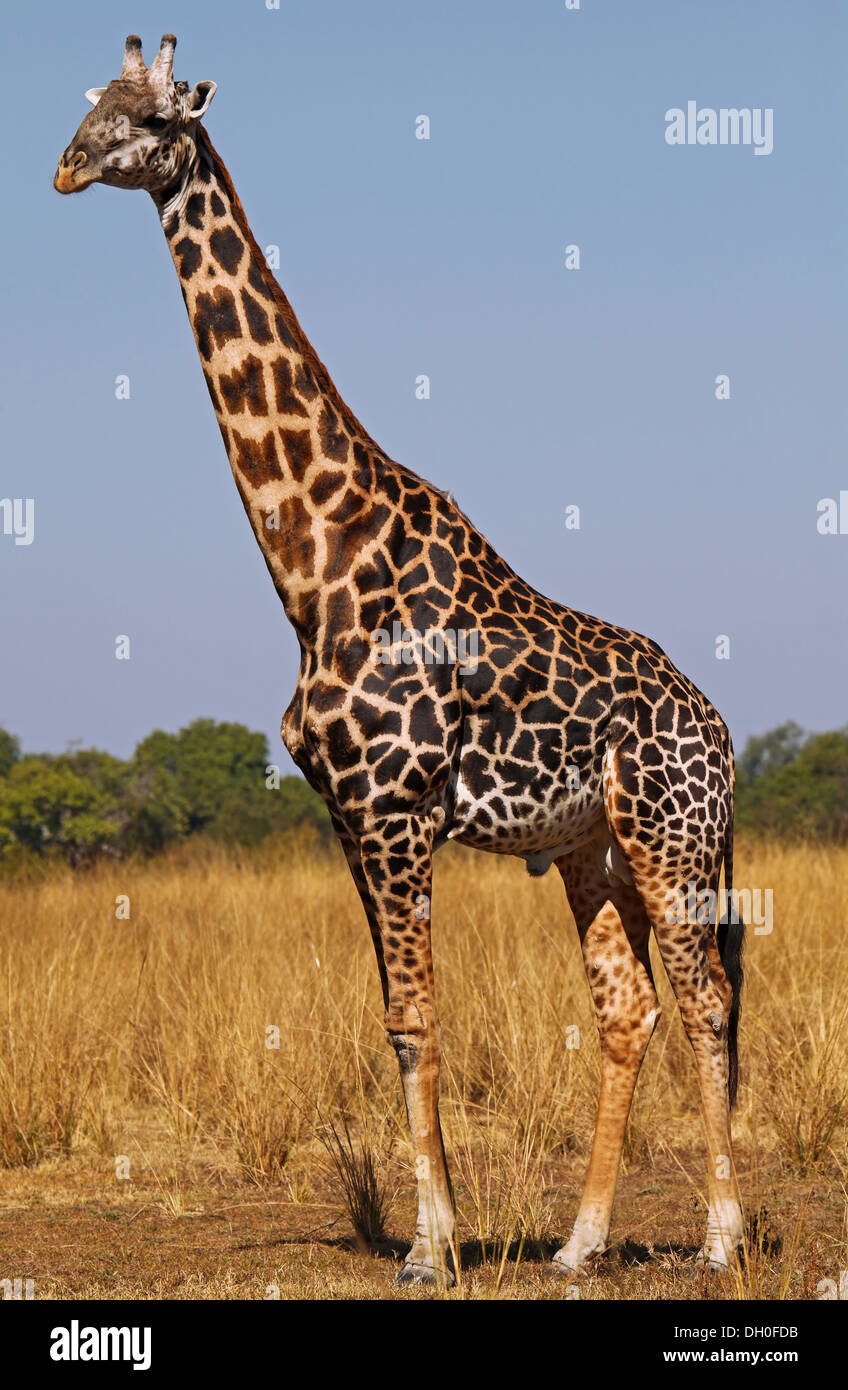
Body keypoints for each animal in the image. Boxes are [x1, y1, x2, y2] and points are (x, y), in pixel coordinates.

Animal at [55, 34, 746, 1287]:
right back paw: (577, 1243)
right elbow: (394, 1019)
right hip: (591, 853)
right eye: (92, 107)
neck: (315, 568)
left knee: (706, 999)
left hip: (671, 845)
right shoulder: (348, 814)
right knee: (627, 1007)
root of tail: (722, 731)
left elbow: (418, 1021)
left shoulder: (395, 813)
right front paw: (442, 1239)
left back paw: (718, 1239)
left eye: (152, 118)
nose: (65, 168)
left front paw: (432, 1252)